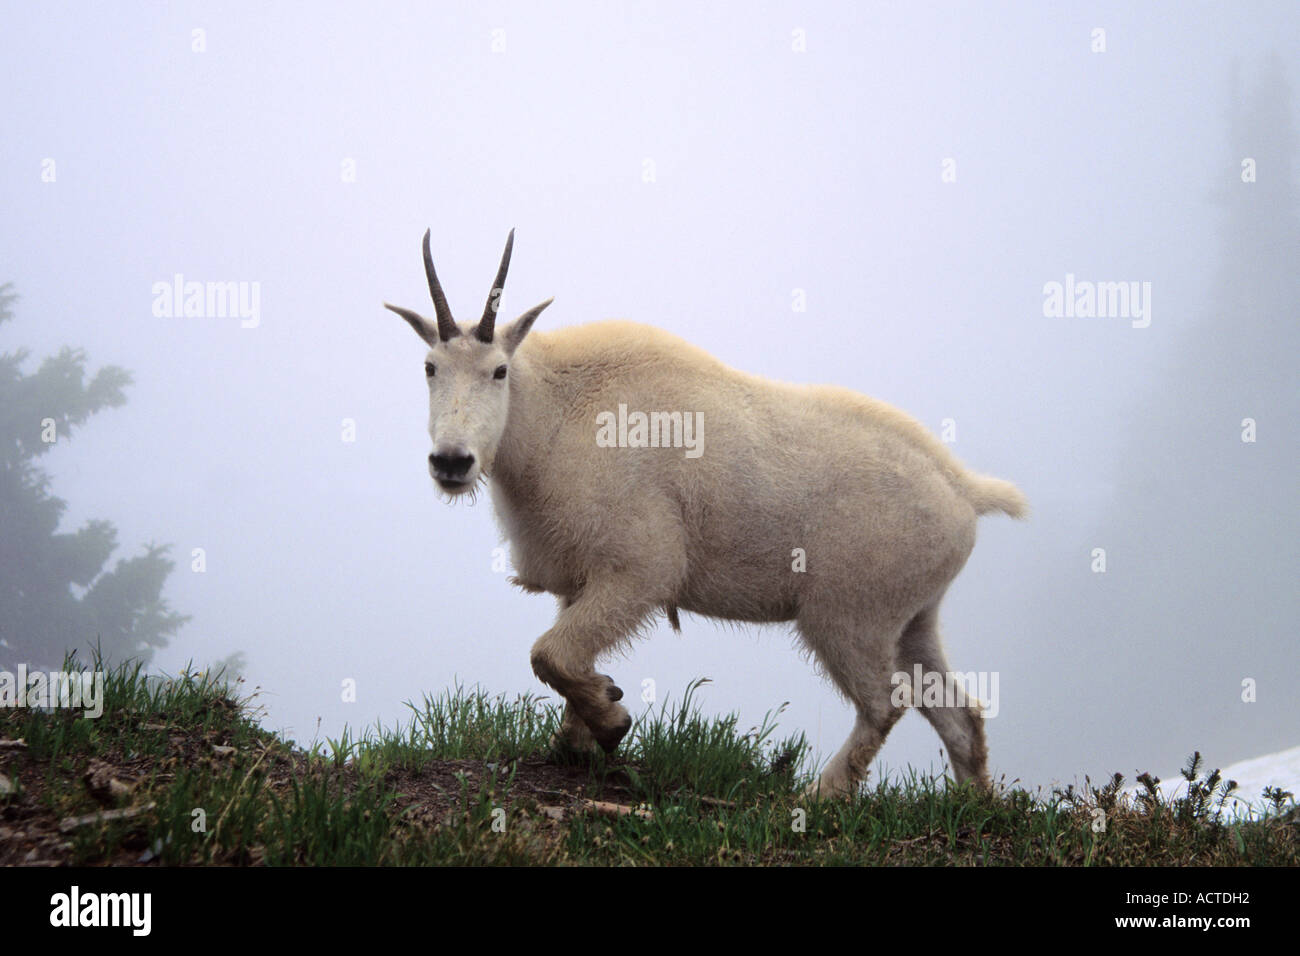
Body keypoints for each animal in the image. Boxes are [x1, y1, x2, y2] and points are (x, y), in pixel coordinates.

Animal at [382, 229, 1027, 798]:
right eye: (430, 368)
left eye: (498, 371)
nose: (452, 461)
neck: (554, 415)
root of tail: (963, 491)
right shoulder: (585, 577)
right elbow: (567, 657)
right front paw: (583, 735)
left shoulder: (640, 568)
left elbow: (551, 654)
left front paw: (613, 722)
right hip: (912, 616)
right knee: (958, 714)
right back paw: (974, 808)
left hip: (850, 613)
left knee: (884, 703)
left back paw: (820, 795)